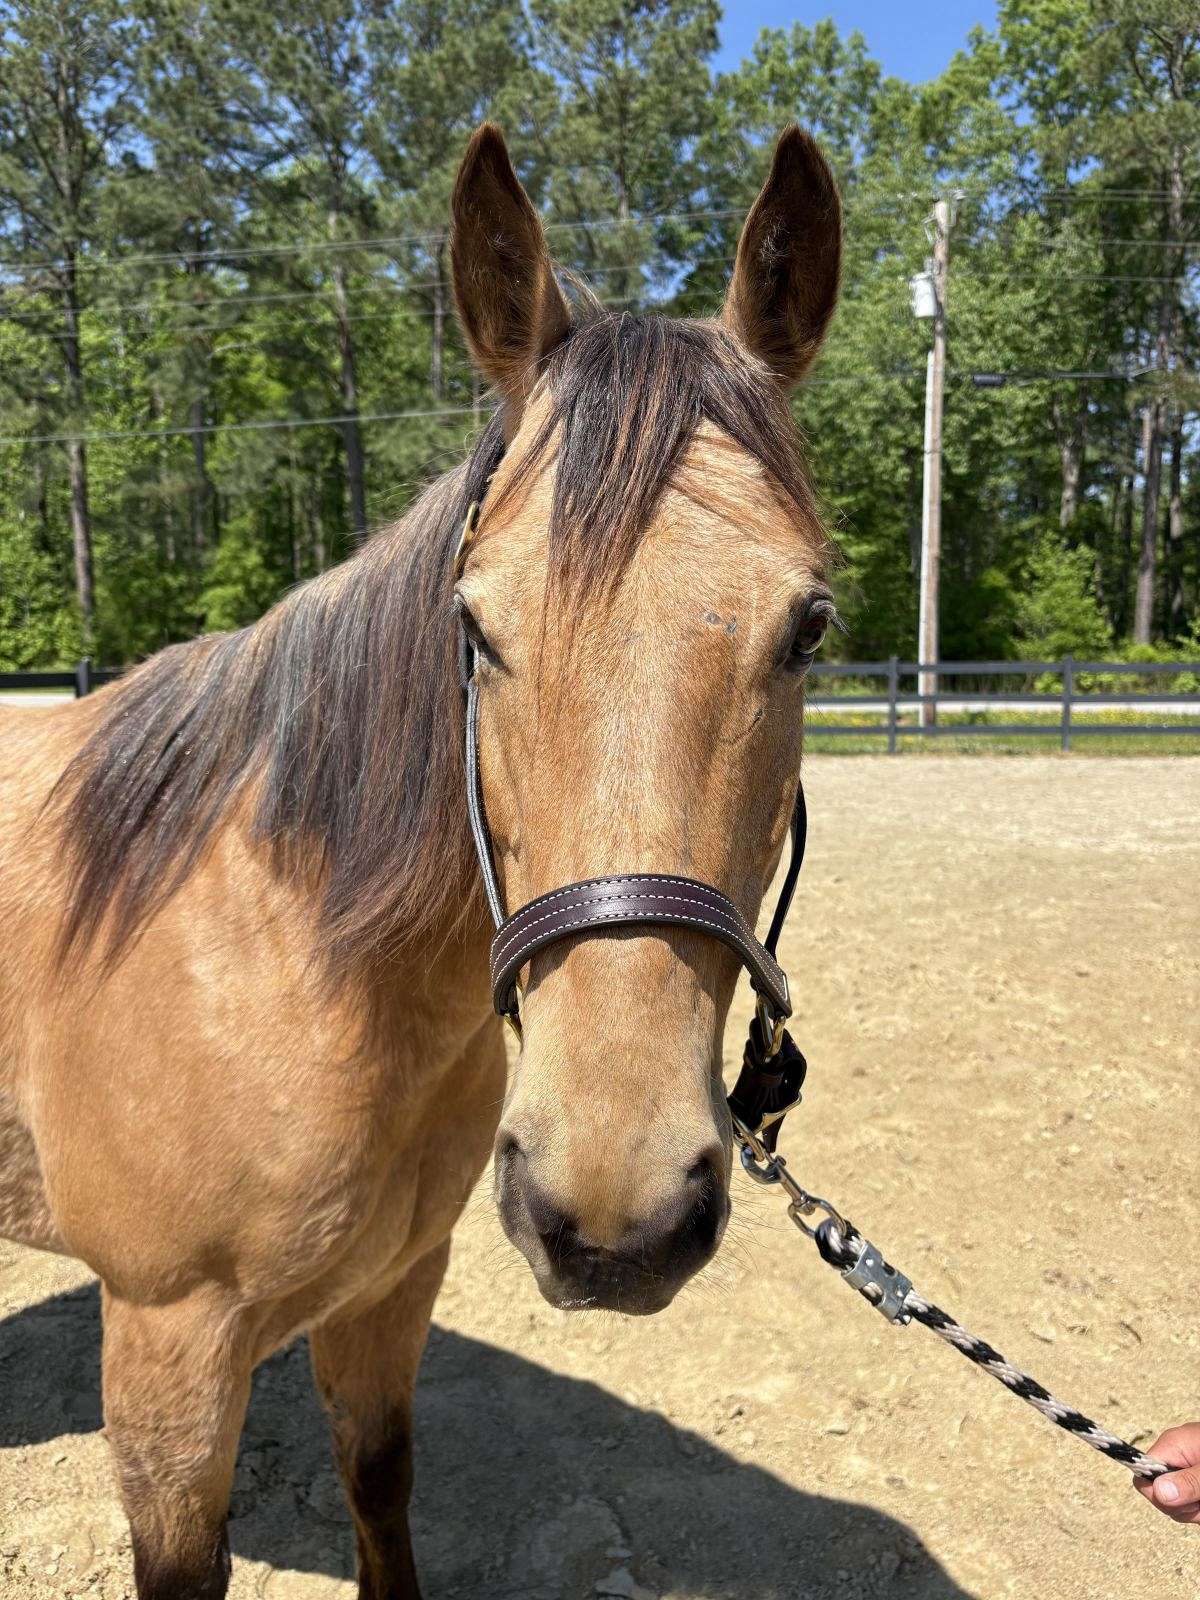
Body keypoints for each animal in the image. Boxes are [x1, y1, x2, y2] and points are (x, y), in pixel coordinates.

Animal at [0, 122, 842, 1599]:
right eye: (476, 625)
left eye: (808, 626)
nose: (617, 1209)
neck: (294, 963)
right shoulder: (165, 1350)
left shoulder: (394, 1284)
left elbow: (380, 1485)